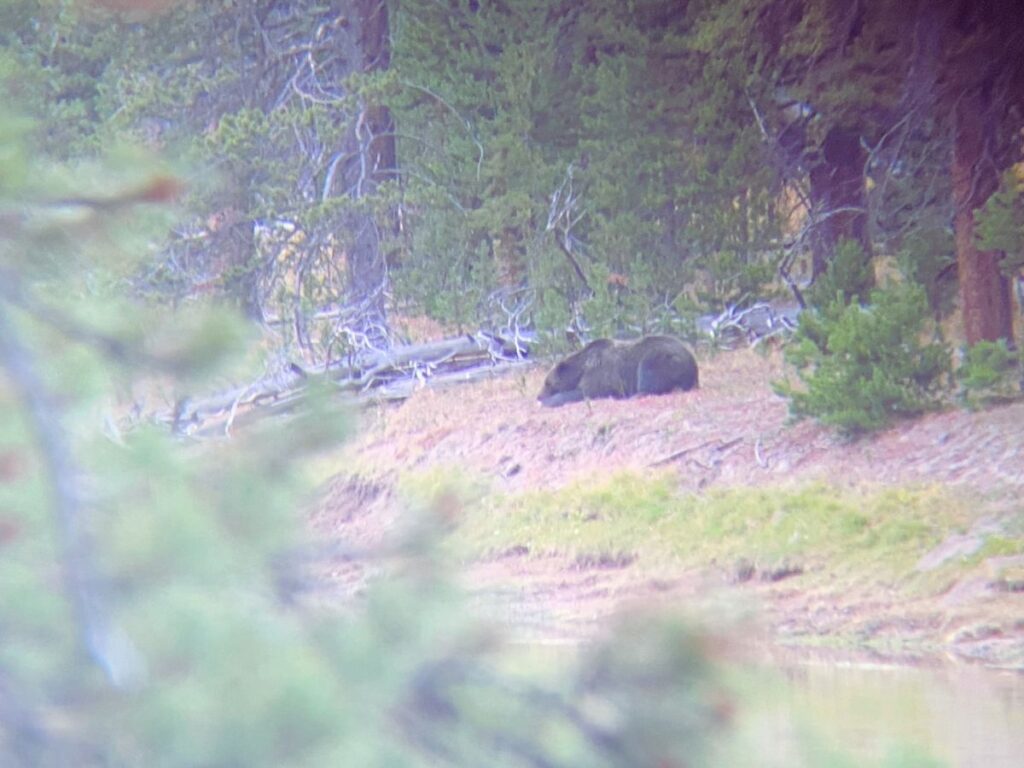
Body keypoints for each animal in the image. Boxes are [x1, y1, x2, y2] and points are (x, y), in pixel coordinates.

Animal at [537, 335, 698, 407]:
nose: (538, 396)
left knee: (648, 376)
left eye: (547, 382)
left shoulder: (601, 374)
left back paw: (634, 395)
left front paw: (550, 401)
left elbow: (586, 391)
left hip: (659, 358)